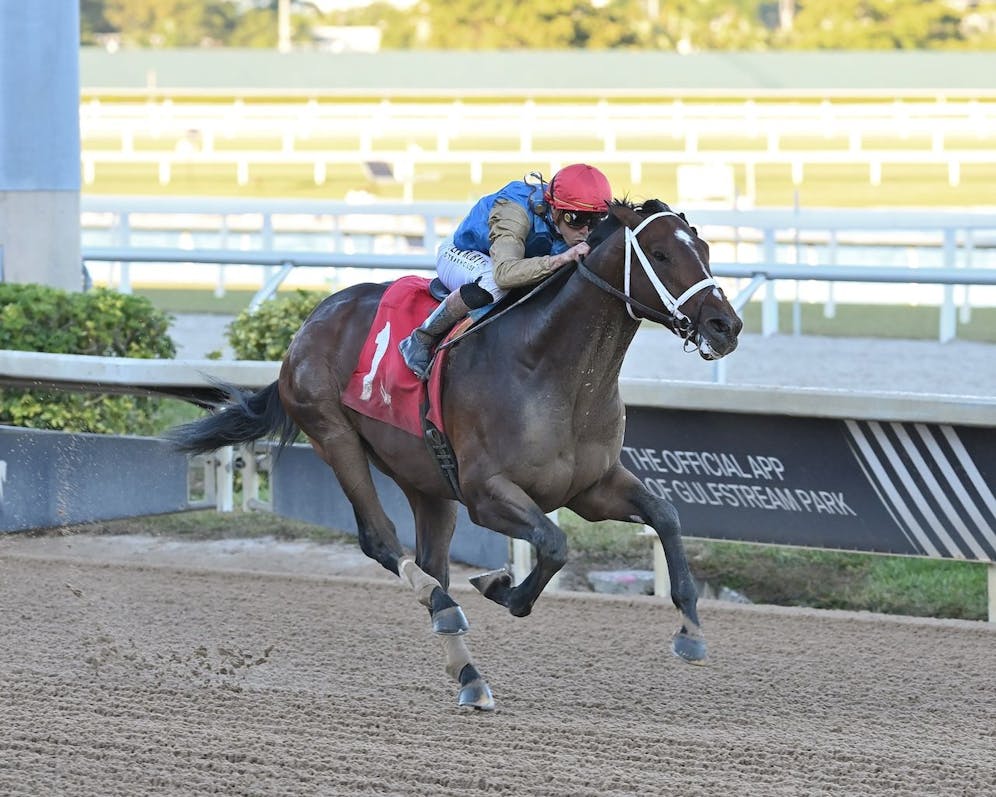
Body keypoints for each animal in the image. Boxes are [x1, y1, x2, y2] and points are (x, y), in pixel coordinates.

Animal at [167, 199, 743, 711]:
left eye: (705, 249)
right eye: (661, 254)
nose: (726, 326)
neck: (554, 371)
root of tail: (312, 322)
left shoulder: (591, 488)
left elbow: (665, 516)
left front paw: (691, 631)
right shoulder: (487, 494)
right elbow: (554, 545)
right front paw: (498, 585)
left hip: (425, 479)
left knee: (432, 563)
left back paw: (469, 675)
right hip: (334, 436)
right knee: (383, 541)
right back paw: (447, 613)